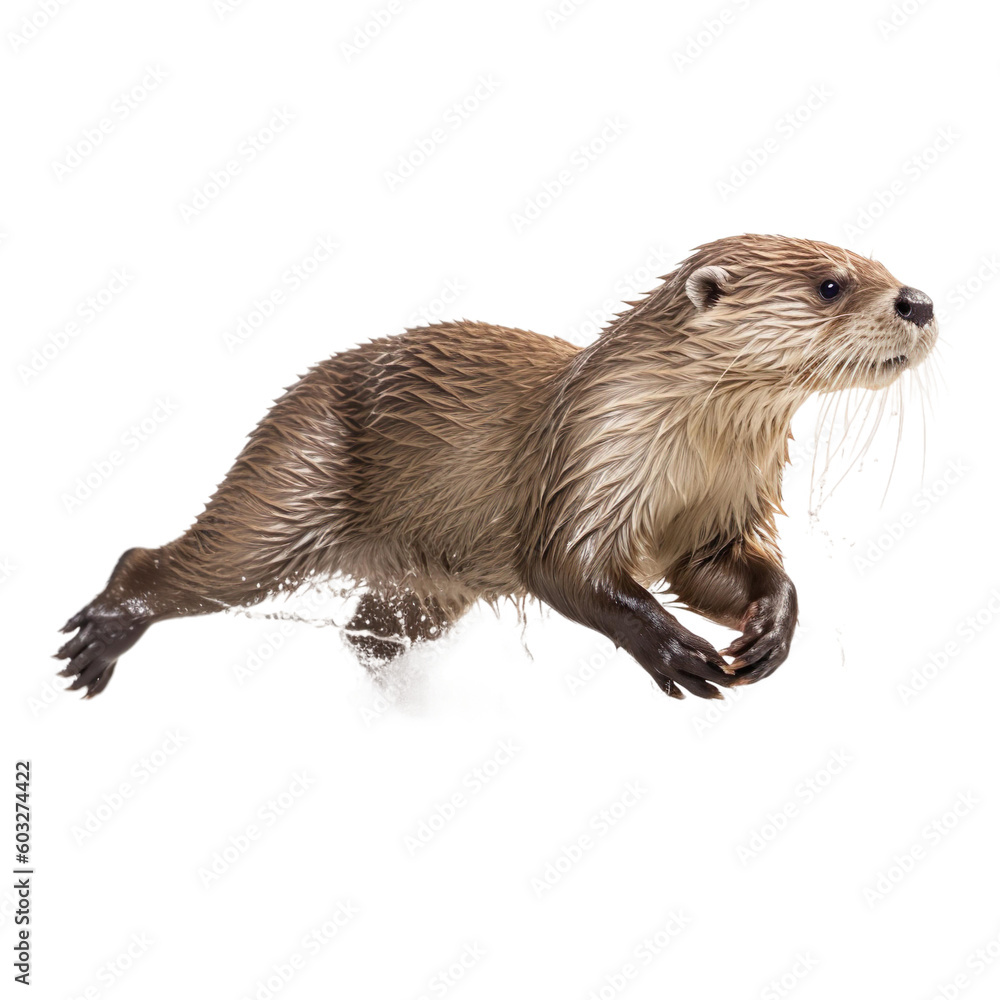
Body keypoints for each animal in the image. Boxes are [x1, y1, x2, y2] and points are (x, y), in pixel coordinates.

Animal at [55, 234, 937, 700]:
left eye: (885, 265)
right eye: (832, 284)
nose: (919, 300)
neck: (687, 455)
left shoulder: (727, 510)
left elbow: (725, 573)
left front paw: (770, 628)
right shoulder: (583, 466)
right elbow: (571, 573)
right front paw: (678, 653)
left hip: (423, 586)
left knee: (373, 627)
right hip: (289, 484)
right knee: (174, 561)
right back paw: (94, 644)